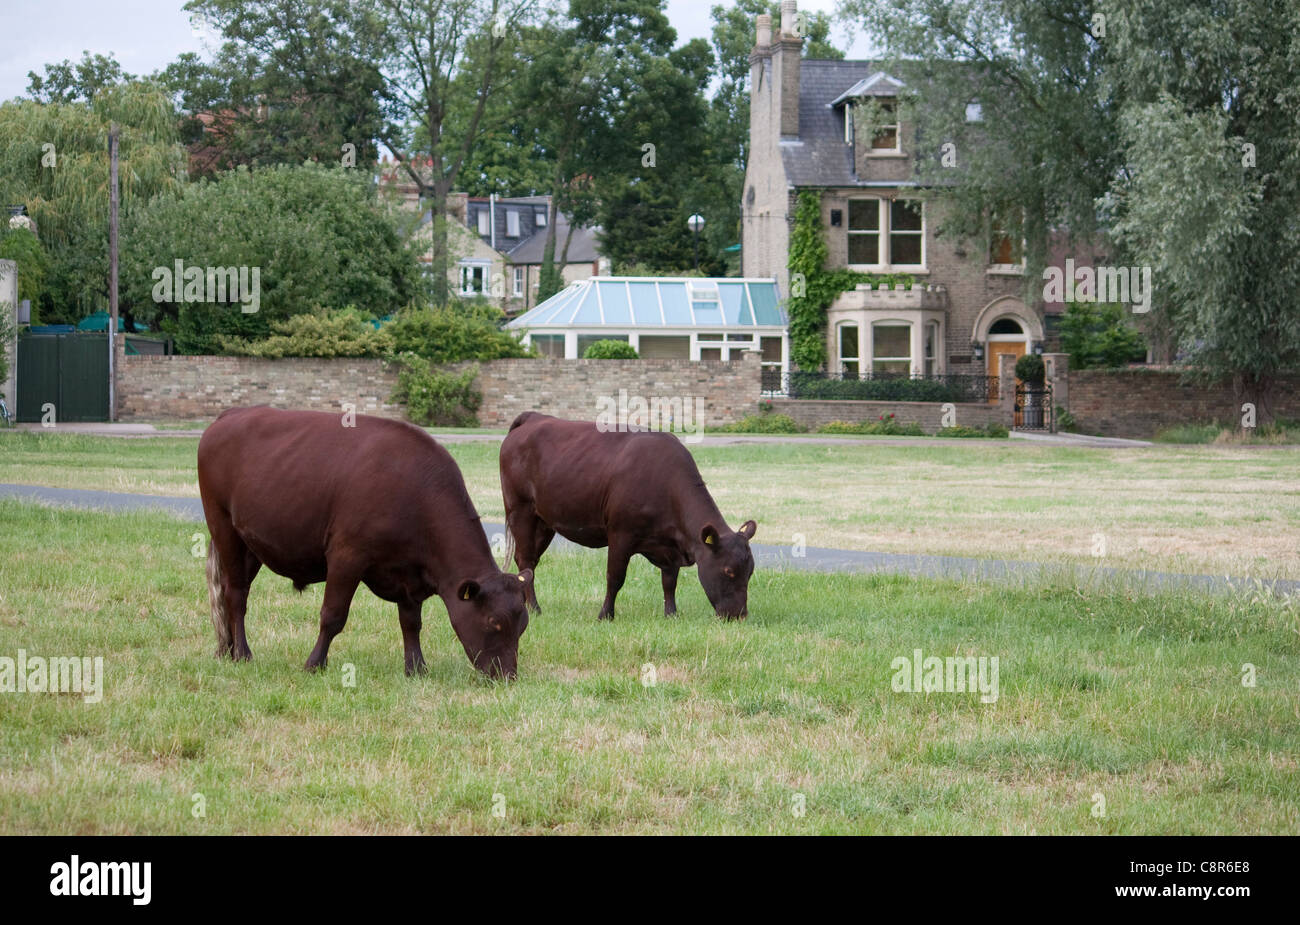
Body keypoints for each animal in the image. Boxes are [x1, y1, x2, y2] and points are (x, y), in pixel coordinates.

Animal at [197, 406, 531, 679]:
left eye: (523, 626)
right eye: (493, 622)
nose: (507, 677)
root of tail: (231, 414)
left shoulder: (409, 573)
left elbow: (411, 622)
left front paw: (416, 668)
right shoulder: (346, 555)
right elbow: (333, 616)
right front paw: (314, 664)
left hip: (251, 543)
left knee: (229, 591)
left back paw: (227, 648)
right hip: (222, 525)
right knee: (236, 594)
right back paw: (242, 653)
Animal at [499, 412, 757, 621]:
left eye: (750, 572)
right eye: (728, 571)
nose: (739, 615)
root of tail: (534, 418)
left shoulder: (669, 547)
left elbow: (669, 581)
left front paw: (671, 614)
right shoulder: (620, 534)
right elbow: (615, 577)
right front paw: (605, 615)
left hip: (544, 522)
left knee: (529, 562)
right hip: (520, 510)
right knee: (526, 560)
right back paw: (534, 608)